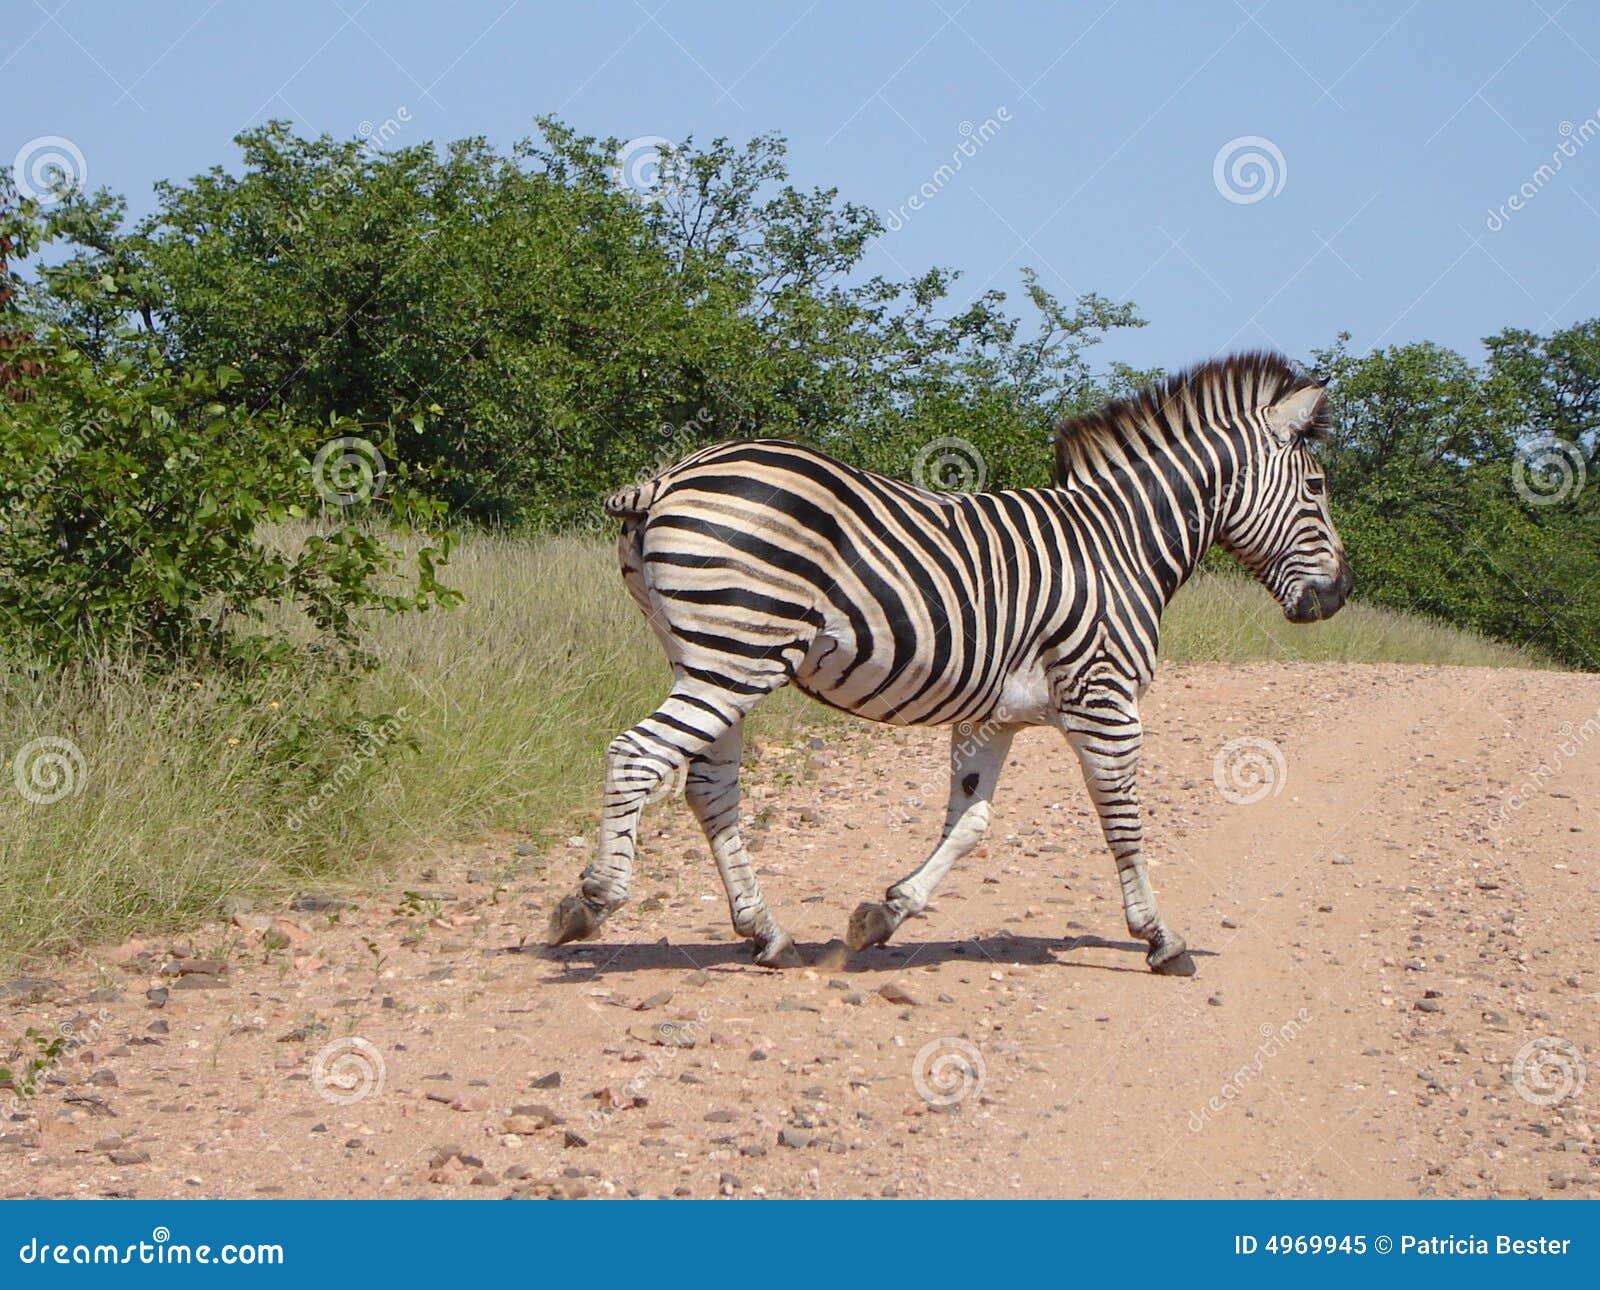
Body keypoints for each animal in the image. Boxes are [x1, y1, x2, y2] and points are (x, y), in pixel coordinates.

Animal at [549, 351, 1351, 975]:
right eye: (1316, 489)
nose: (1338, 596)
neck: (1119, 544)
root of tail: (671, 474)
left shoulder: (992, 718)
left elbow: (970, 823)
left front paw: (884, 915)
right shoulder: (1106, 703)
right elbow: (1123, 823)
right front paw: (1161, 939)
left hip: (714, 659)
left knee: (708, 788)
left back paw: (767, 935)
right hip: (737, 657)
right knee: (637, 755)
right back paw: (591, 904)